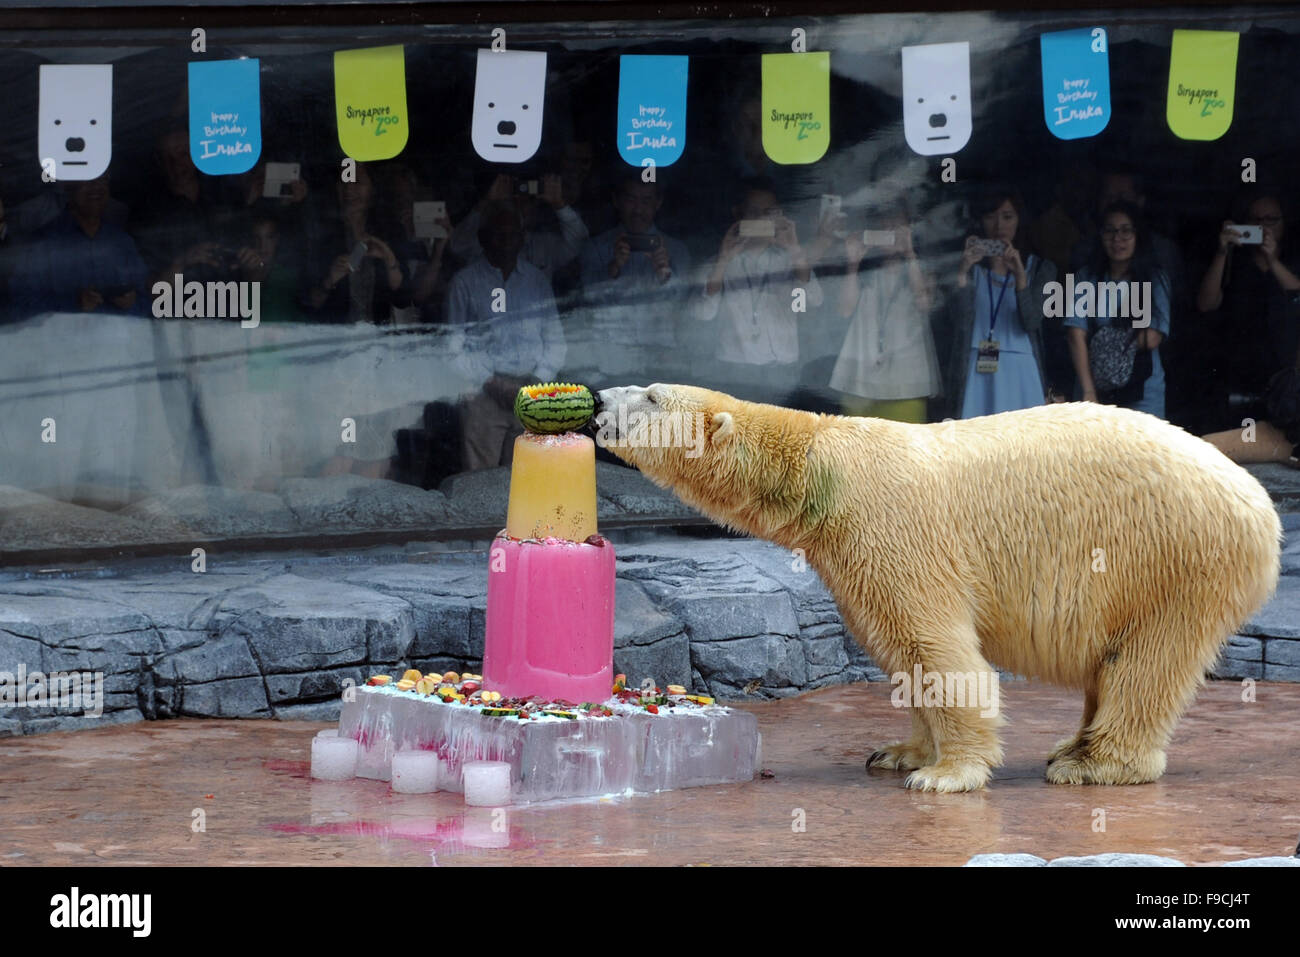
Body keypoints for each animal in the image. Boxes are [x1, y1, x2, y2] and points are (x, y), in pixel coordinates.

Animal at [593, 384, 1282, 792]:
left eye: (650, 396)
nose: (598, 397)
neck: (820, 464)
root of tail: (1262, 510)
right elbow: (903, 652)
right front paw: (900, 752)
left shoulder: (891, 528)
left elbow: (937, 646)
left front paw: (945, 775)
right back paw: (1073, 744)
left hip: (1171, 559)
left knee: (1145, 663)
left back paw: (1092, 764)